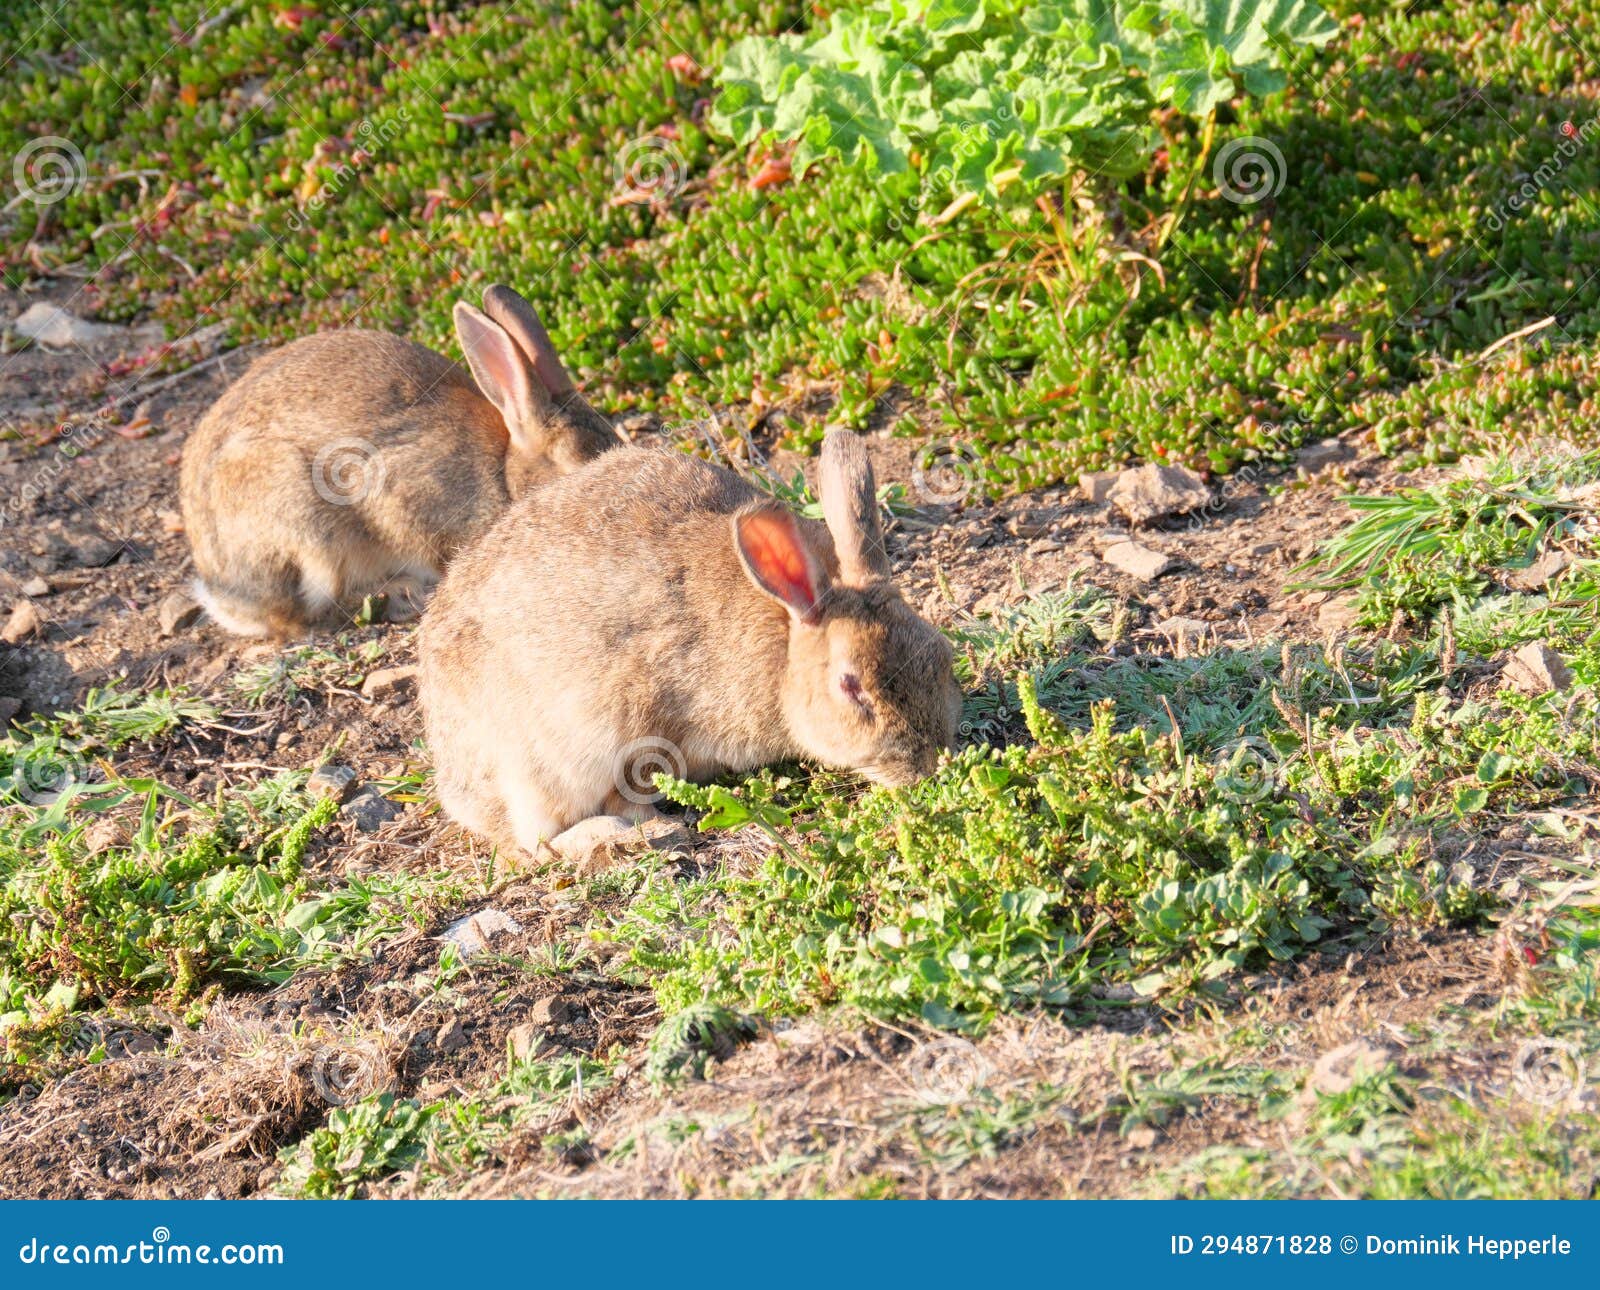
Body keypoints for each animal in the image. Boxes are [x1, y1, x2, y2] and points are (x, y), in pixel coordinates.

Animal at [179, 284, 620, 637]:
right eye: (576, 465)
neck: (504, 477)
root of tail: (225, 589)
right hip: (301, 523)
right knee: (298, 618)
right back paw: (398, 594)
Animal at [418, 428, 962, 860]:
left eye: (943, 656)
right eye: (851, 688)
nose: (927, 767)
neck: (786, 646)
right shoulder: (637, 720)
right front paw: (651, 822)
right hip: (531, 771)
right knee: (536, 844)